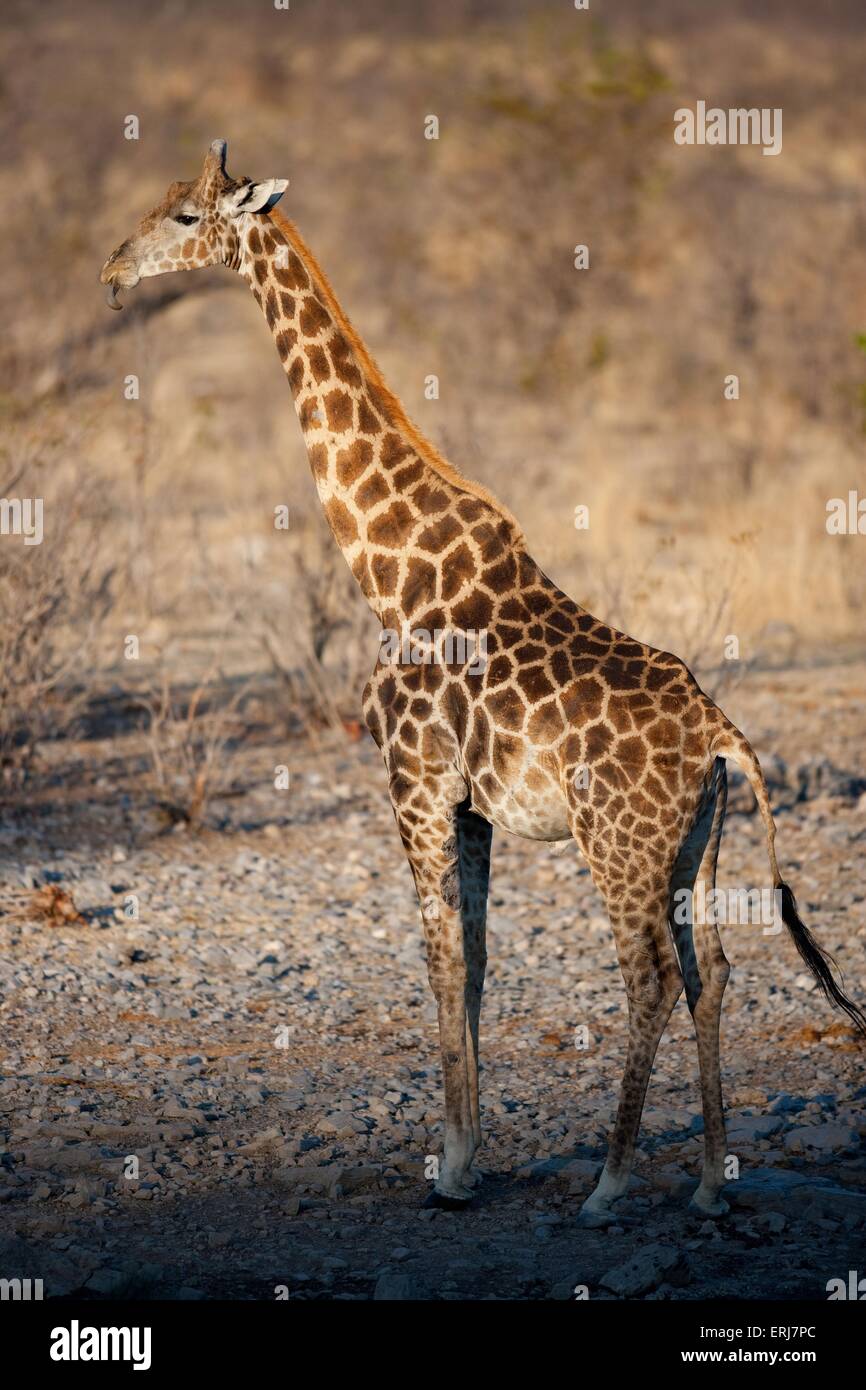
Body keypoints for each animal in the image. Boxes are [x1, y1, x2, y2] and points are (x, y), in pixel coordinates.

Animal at [101, 141, 866, 1220]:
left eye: (180, 217)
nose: (112, 270)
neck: (388, 569)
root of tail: (722, 735)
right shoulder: (468, 807)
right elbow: (474, 960)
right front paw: (471, 1154)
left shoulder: (414, 786)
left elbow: (438, 958)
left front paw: (454, 1166)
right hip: (695, 846)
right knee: (711, 970)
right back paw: (711, 1185)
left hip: (617, 845)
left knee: (647, 975)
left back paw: (609, 1183)